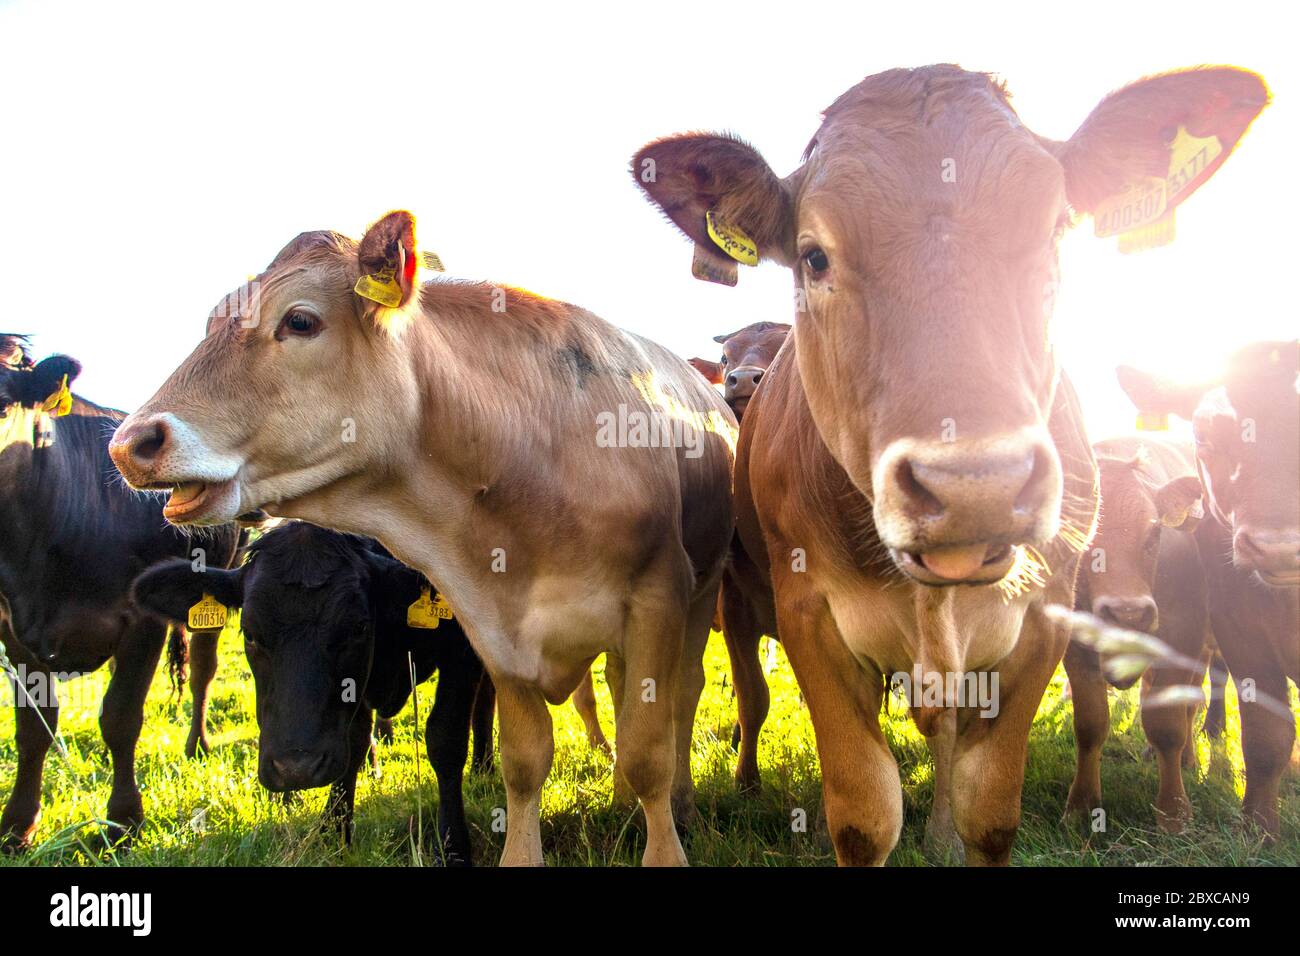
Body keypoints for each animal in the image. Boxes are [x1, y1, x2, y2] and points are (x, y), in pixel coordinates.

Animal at [0, 337, 238, 849]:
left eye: (4, 403)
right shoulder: (12, 632)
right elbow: (33, 728)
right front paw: (17, 825)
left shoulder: (141, 621)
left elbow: (121, 718)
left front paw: (124, 821)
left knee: (202, 670)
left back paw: (197, 745)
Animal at [132, 522, 488, 862]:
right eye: (250, 633)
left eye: (358, 628)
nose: (297, 770)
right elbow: (355, 742)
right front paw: (332, 831)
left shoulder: (462, 653)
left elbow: (446, 740)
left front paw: (452, 845)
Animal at [1062, 435, 1218, 832]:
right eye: (1084, 538)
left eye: (1154, 533)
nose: (1127, 613)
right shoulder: (1077, 649)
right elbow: (1090, 725)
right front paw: (1081, 804)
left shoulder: (1182, 640)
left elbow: (1168, 727)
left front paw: (1174, 812)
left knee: (1189, 705)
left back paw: (1187, 759)